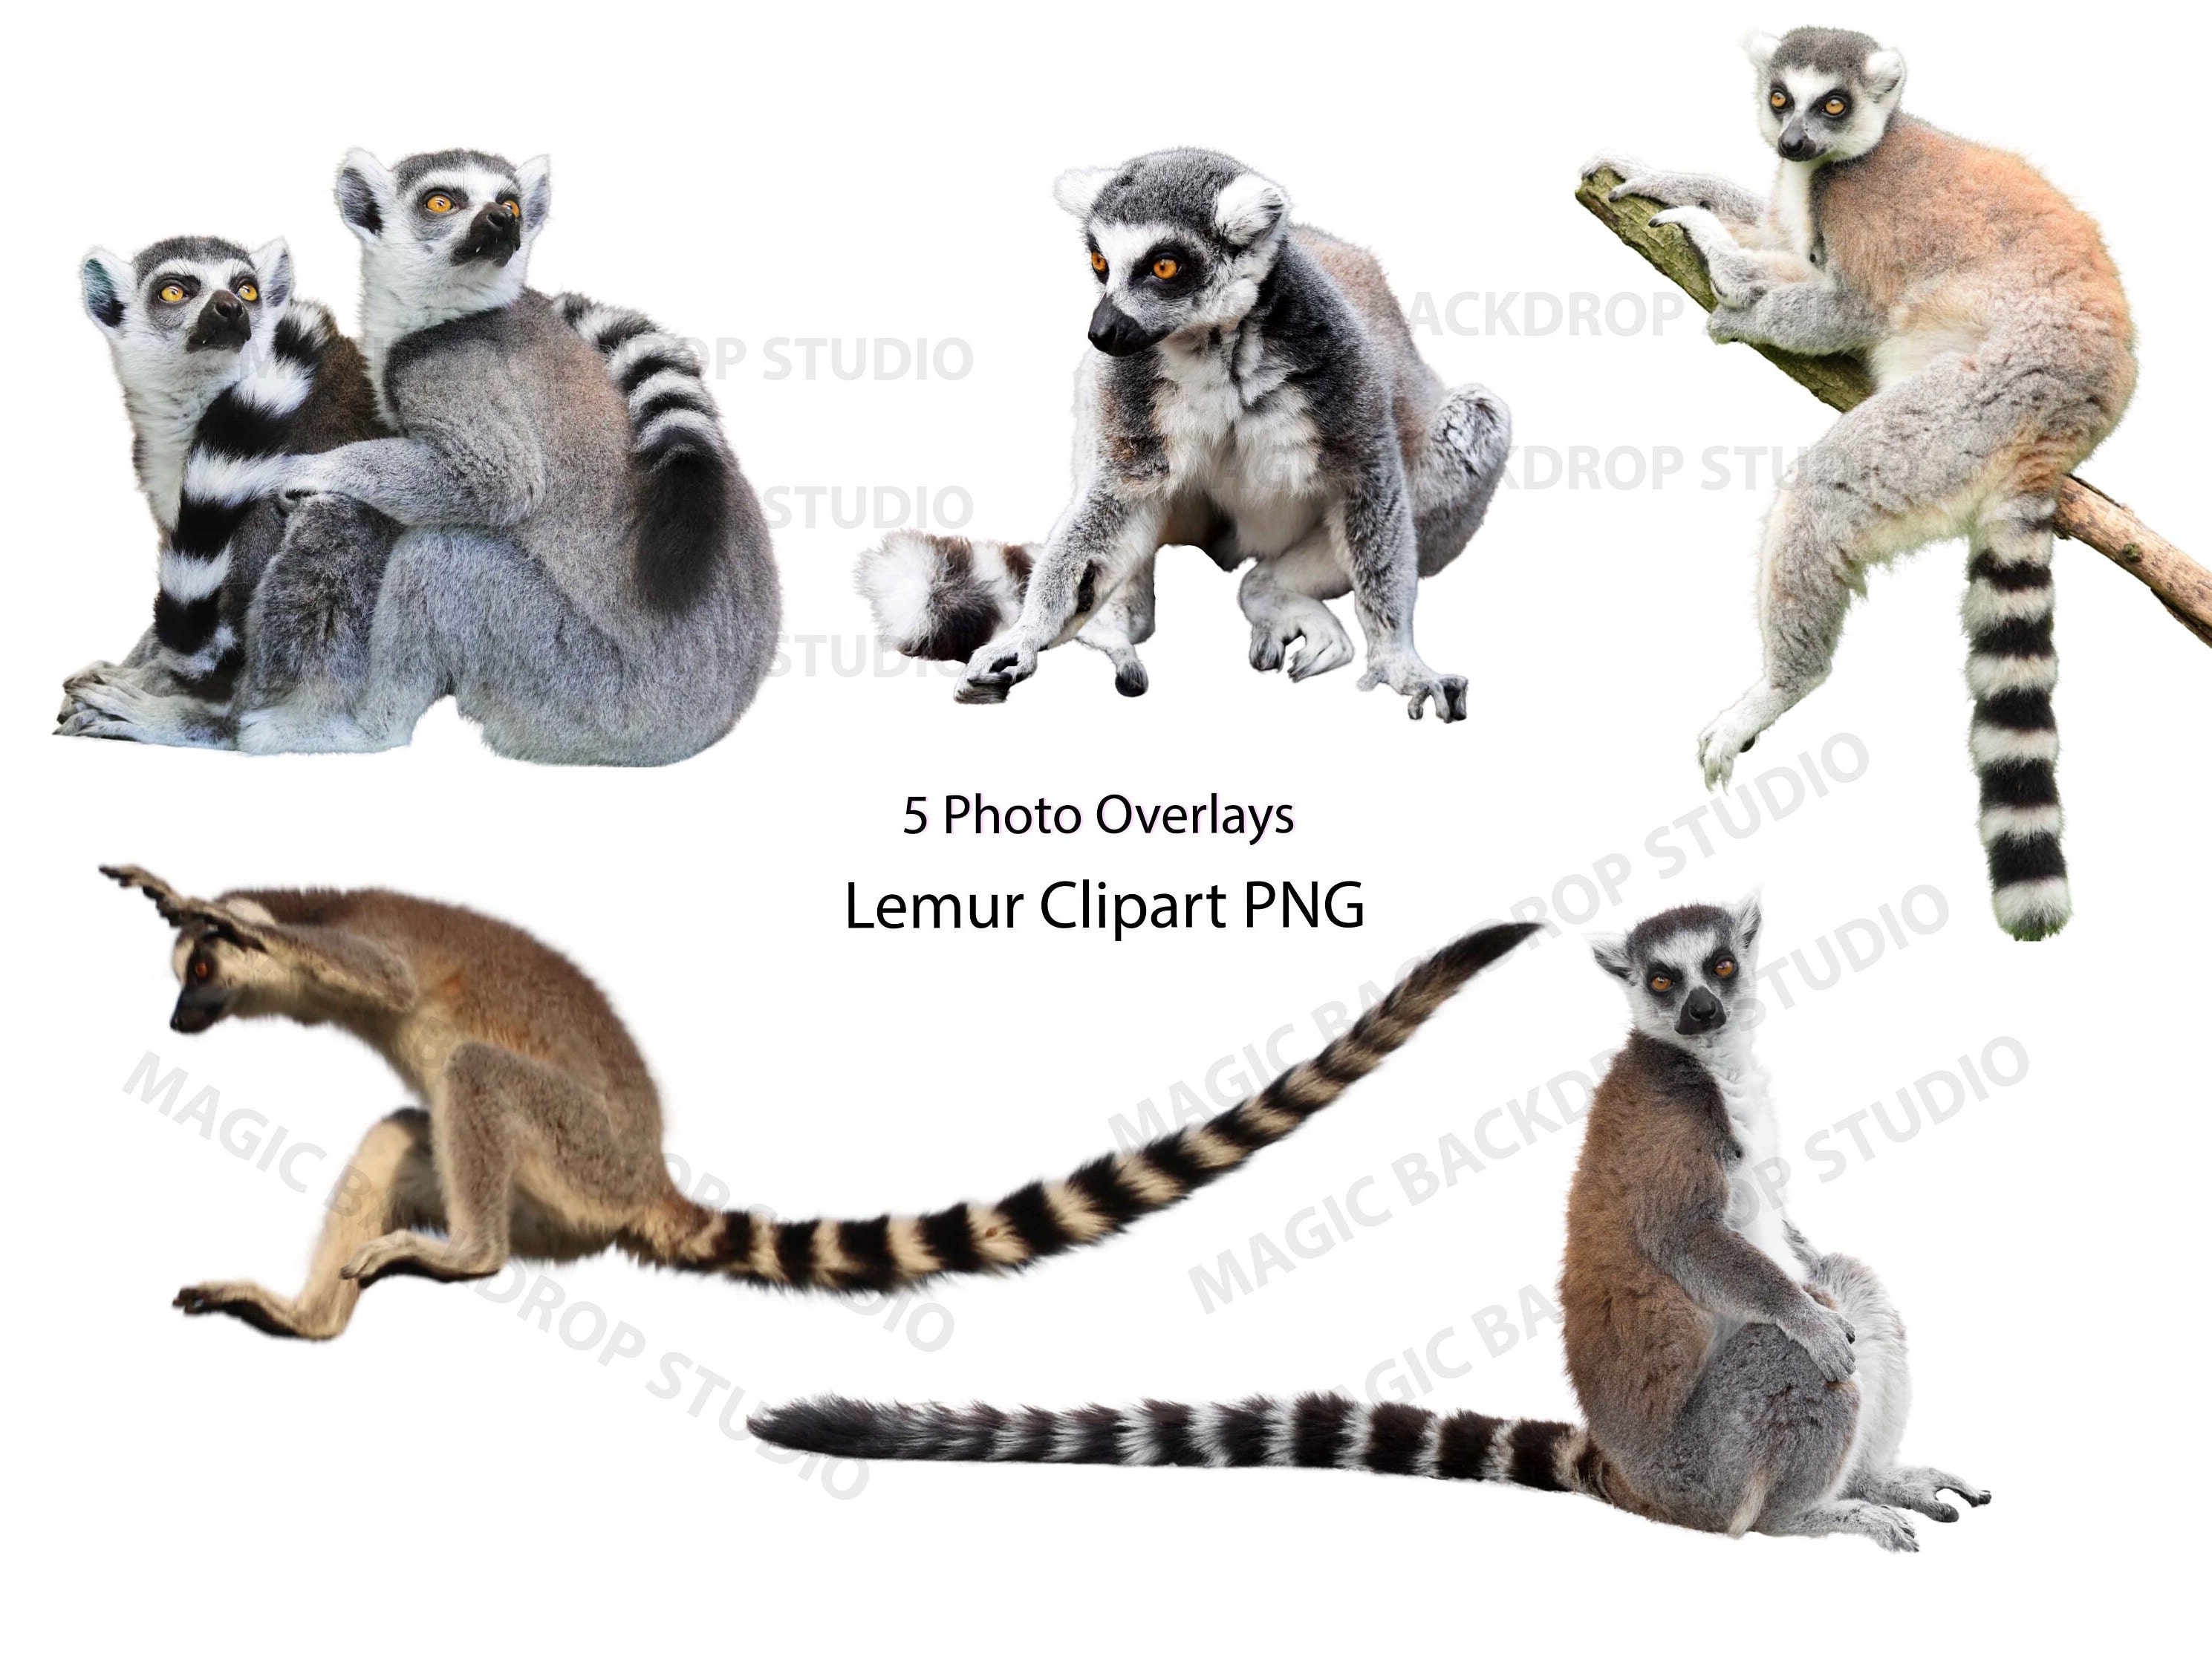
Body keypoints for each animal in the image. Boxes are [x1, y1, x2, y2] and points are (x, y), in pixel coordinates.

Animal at [102, 864, 1536, 1341]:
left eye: (192, 981)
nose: (173, 1024)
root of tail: (650, 1180)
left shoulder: (363, 949)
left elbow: (373, 972)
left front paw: (183, 887)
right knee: (408, 1129)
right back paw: (309, 1319)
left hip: (569, 1156)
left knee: (466, 1085)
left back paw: (464, 1254)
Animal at [752, 896, 1986, 1553]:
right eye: (1663, 978)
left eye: (1721, 964)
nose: (1703, 1005)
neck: (1715, 1066)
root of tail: (1626, 1472)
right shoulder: (1678, 1138)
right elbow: (1703, 1248)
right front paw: (1802, 1319)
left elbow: (1803, 1247)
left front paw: (1815, 1261)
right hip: (1703, 1462)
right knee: (1789, 1365)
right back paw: (1798, 1517)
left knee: (1864, 1294)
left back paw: (1877, 1474)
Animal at [1582, 27, 2135, 940]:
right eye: (1781, 98)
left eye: (1833, 105)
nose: (1793, 142)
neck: (1843, 163)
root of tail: (2075, 416)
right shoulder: (1801, 197)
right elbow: (1774, 226)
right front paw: (1665, 179)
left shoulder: (1864, 210)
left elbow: (1848, 309)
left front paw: (1719, 265)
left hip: (1979, 403)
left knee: (1824, 490)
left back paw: (1779, 686)